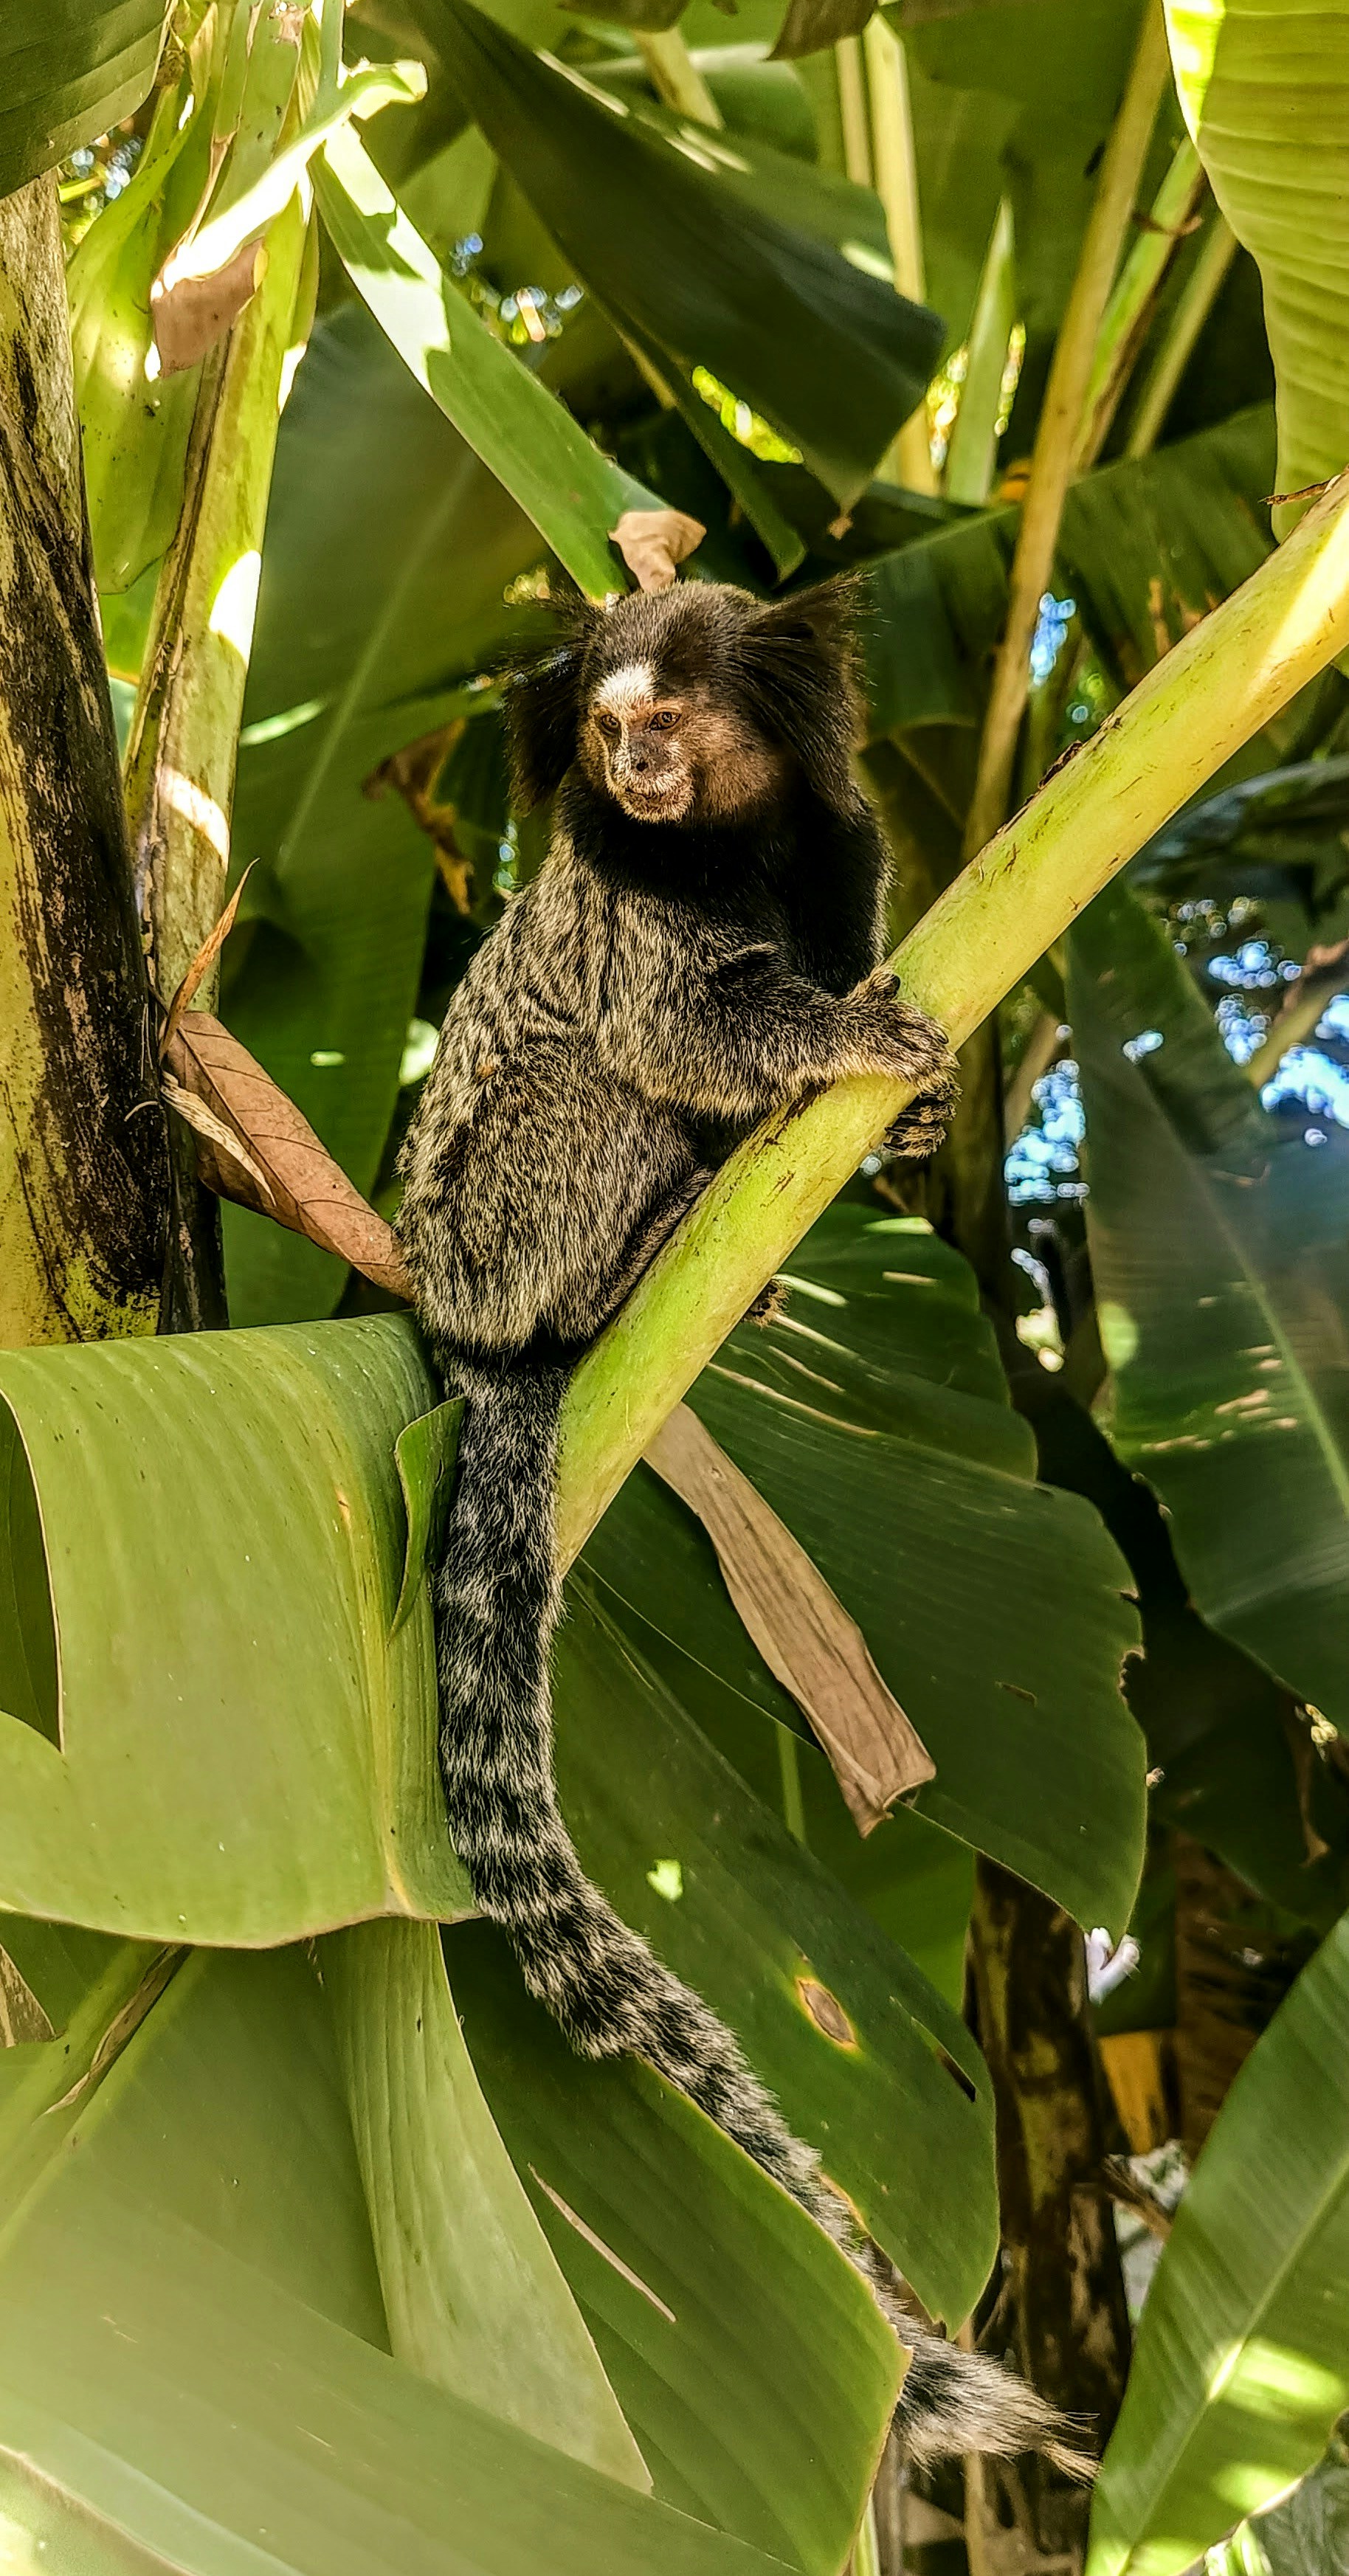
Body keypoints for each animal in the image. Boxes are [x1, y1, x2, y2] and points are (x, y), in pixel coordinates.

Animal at [395, 574, 1088, 2478]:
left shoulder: (843, 854)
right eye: (604, 725)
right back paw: (630, 1265)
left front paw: (908, 1111)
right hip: (500, 1213)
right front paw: (838, 1050)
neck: (733, 841)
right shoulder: (626, 913)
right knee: (597, 1090)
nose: (630, 769)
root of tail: (453, 1333)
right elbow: (665, 1026)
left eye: (667, 719)